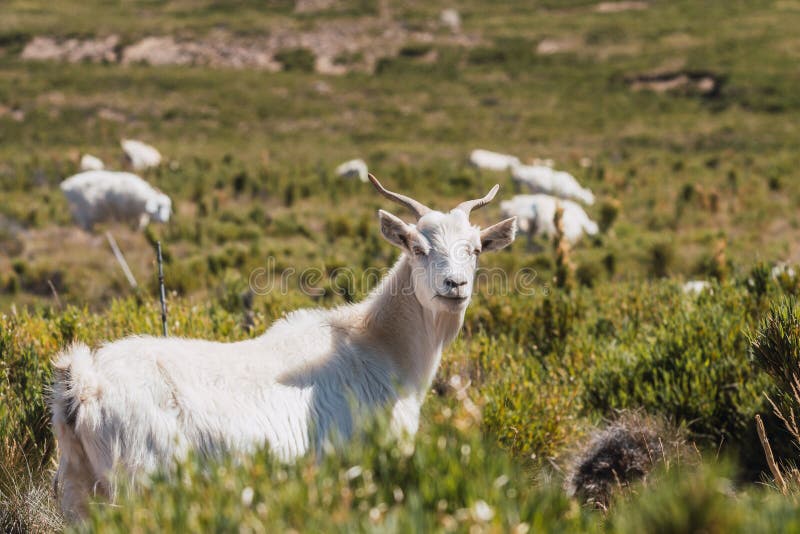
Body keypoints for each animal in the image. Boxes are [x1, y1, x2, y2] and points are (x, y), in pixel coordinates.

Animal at [49, 175, 517, 520]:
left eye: (476, 249)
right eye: (418, 248)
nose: (454, 285)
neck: (382, 346)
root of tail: (85, 384)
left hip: (79, 488)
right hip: (139, 484)